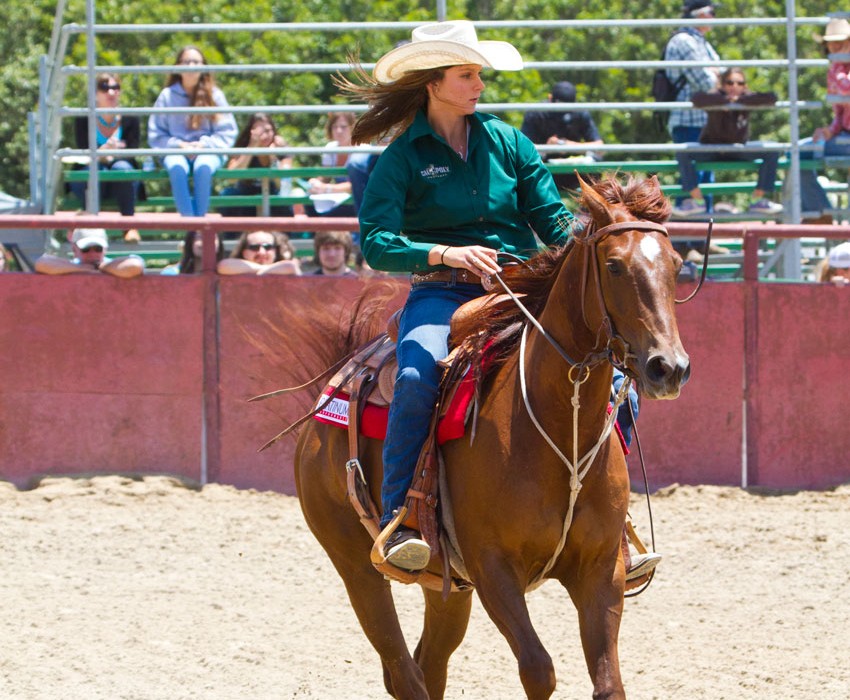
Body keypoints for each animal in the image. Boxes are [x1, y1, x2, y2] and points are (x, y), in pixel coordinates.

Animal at [291, 175, 690, 699]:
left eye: (677, 265)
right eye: (614, 265)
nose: (669, 367)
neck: (559, 432)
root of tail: (338, 383)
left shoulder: (602, 570)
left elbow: (609, 682)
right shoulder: (493, 571)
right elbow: (538, 669)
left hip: (446, 586)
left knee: (429, 663)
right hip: (355, 563)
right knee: (402, 669)